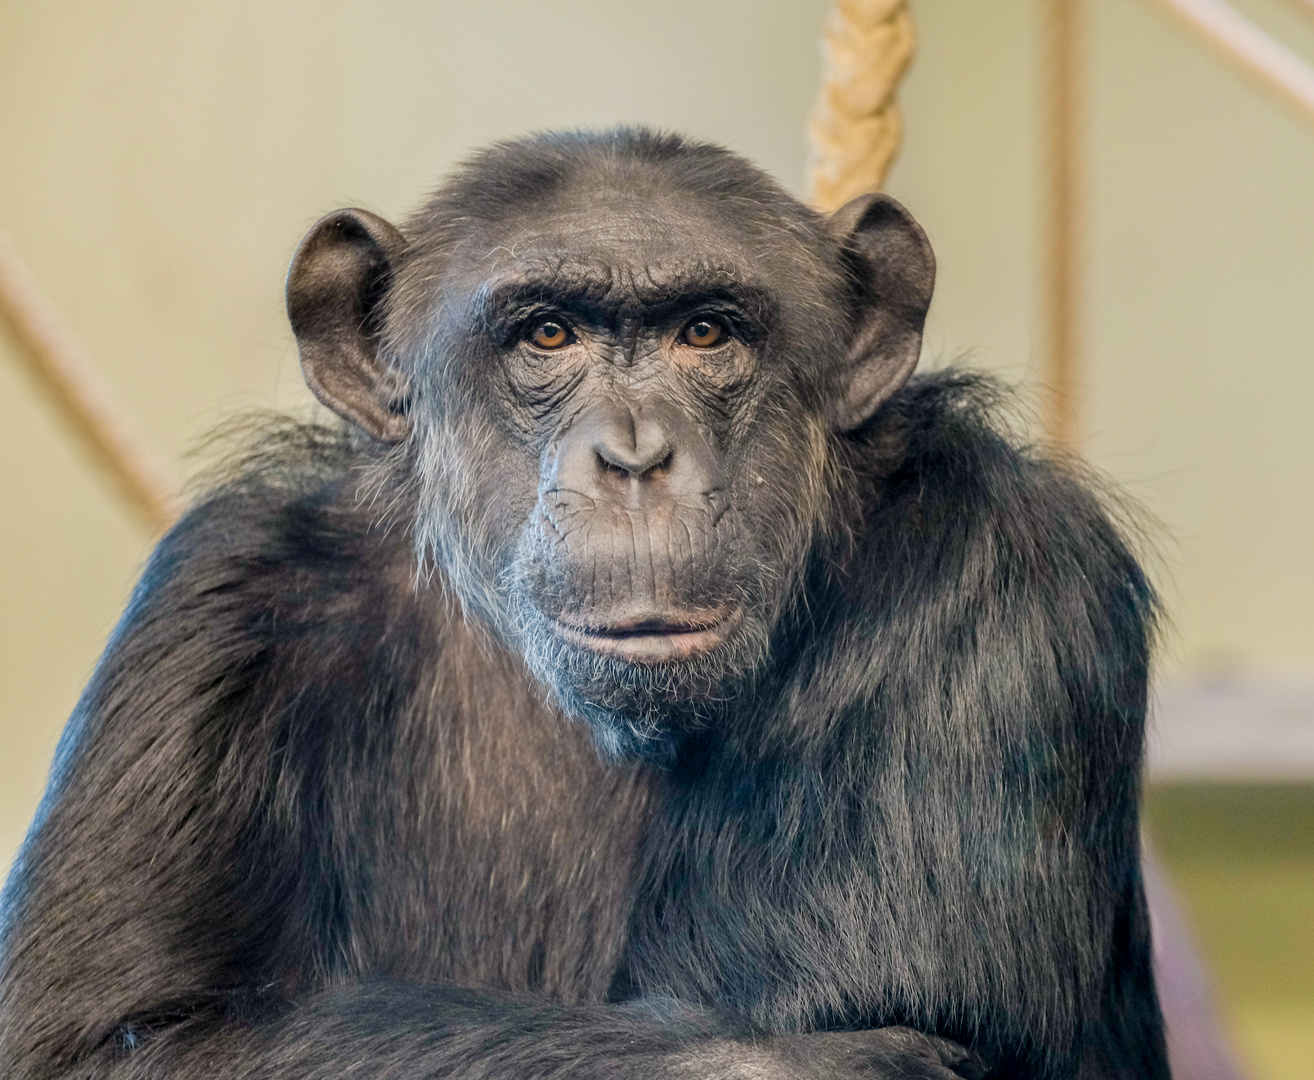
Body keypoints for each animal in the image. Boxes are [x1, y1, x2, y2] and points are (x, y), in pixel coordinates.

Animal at [0, 128, 1168, 1079]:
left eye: (706, 333)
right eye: (549, 335)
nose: (637, 458)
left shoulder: (1003, 563)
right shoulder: (217, 601)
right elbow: (114, 1038)